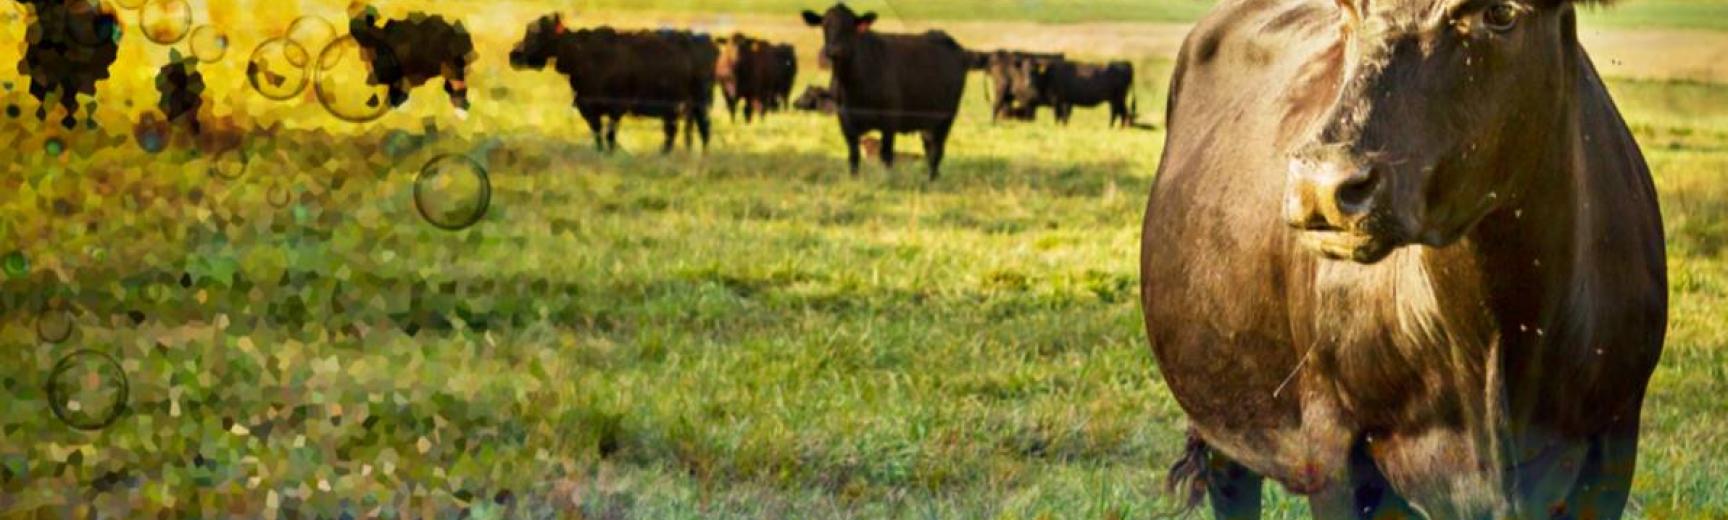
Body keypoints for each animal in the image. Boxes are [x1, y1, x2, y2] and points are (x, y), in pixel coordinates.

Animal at [509, 14, 716, 153]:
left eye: (537, 34)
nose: (514, 56)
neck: (584, 56)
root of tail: (703, 38)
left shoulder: (617, 106)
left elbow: (609, 135)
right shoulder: (588, 107)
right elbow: (598, 135)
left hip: (699, 102)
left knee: (702, 130)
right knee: (677, 132)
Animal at [801, 4, 968, 180]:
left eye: (851, 26)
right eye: (824, 25)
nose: (834, 50)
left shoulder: (890, 120)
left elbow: (886, 155)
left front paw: (886, 180)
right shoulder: (845, 121)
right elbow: (853, 155)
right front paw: (854, 179)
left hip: (946, 118)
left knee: (936, 151)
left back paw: (931, 180)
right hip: (927, 122)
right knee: (929, 148)